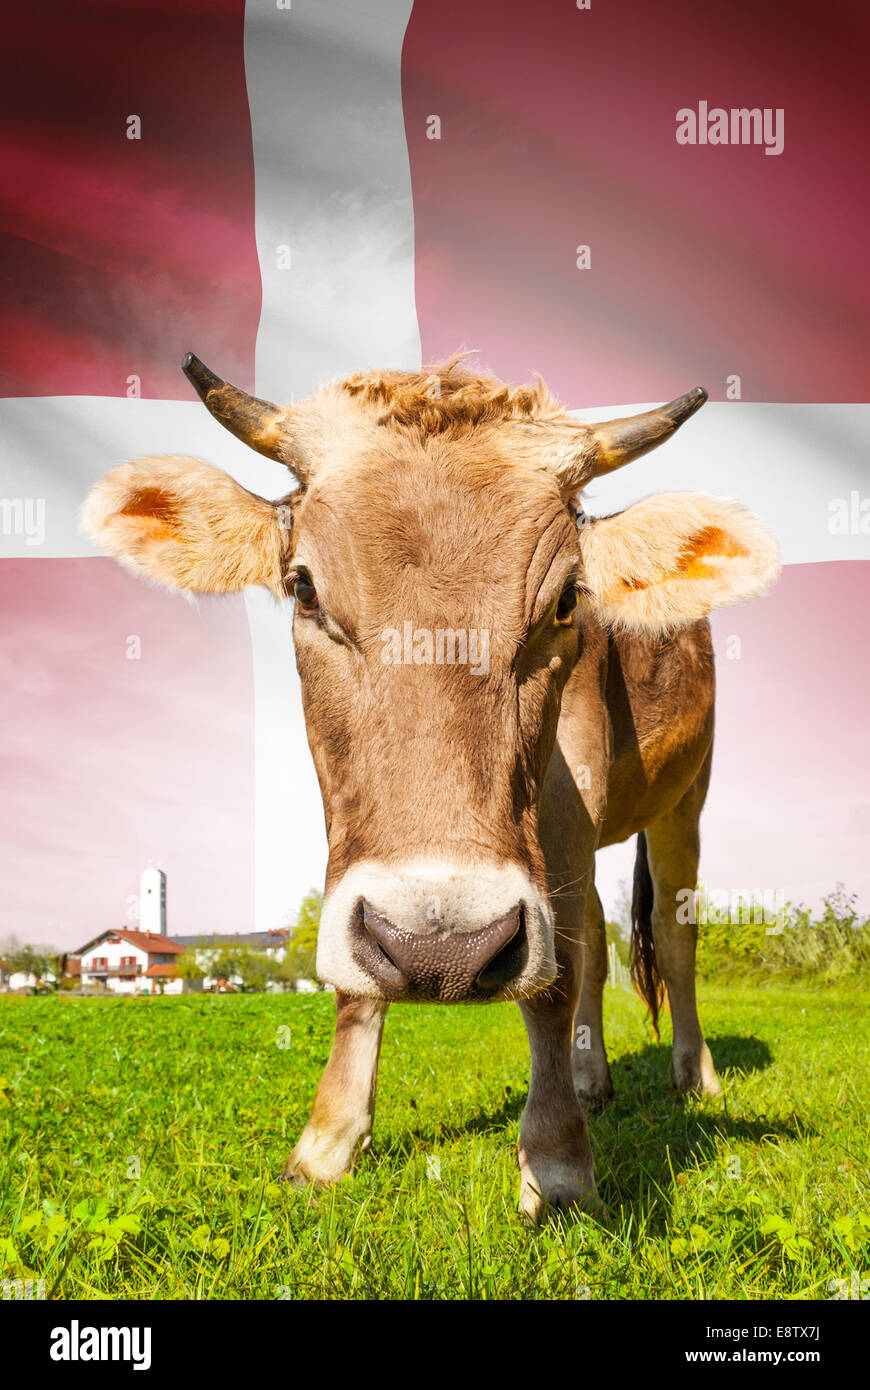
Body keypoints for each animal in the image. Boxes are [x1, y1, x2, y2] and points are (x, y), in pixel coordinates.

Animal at [82, 352, 779, 1221]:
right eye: (304, 588)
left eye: (566, 601)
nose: (441, 949)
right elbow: (363, 975)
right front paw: (326, 1143)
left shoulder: (571, 798)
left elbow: (552, 979)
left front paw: (557, 1162)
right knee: (594, 940)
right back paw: (592, 1080)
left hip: (686, 798)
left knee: (671, 939)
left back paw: (694, 1074)